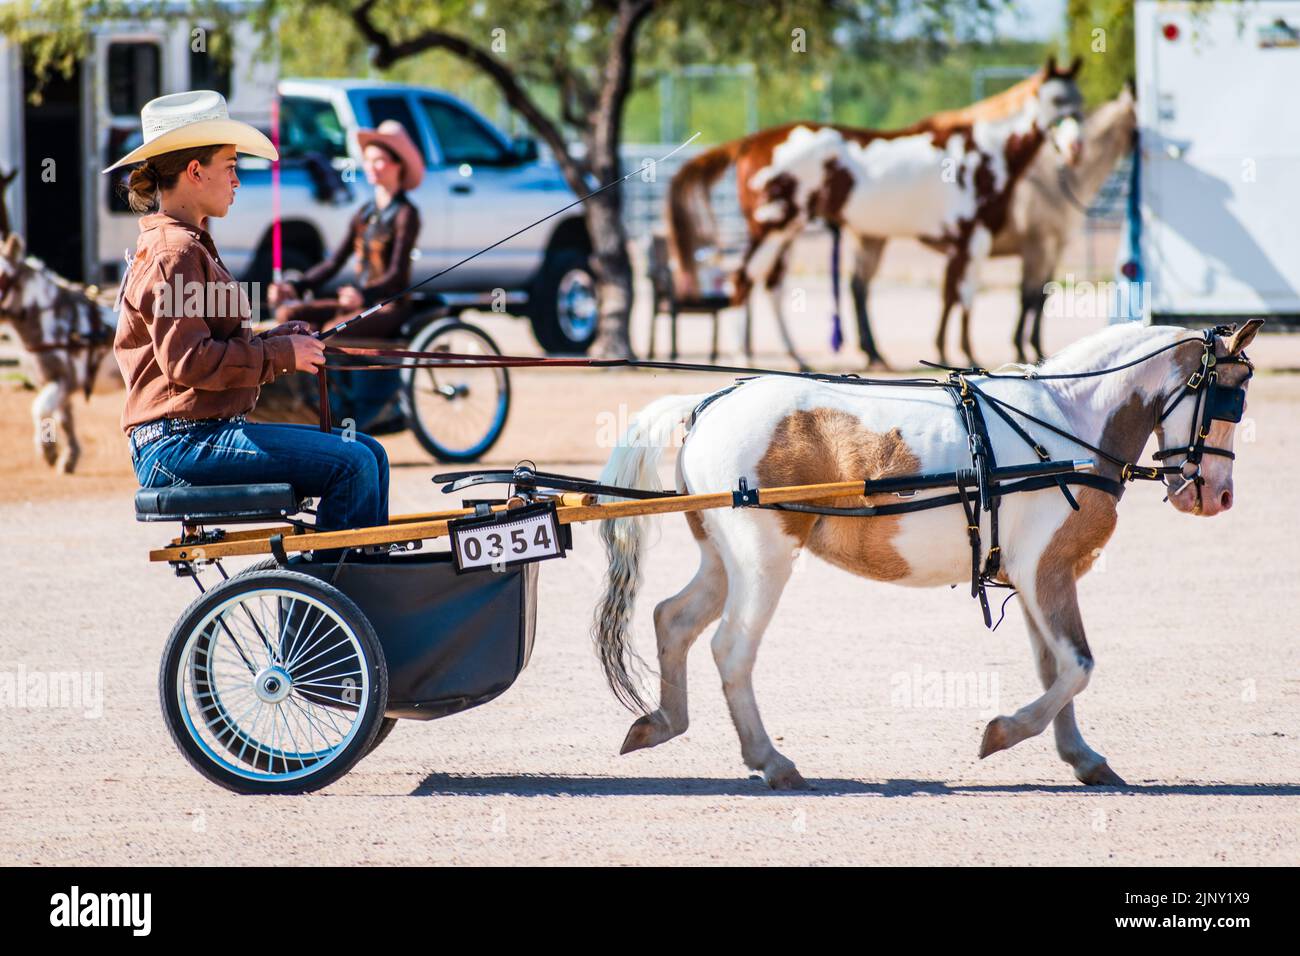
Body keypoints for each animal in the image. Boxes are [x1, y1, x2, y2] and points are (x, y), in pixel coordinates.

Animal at [0, 233, 116, 473]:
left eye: (4, 276)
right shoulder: (54, 383)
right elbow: (64, 418)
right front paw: (69, 457)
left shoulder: (65, 379)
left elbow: (39, 408)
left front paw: (49, 451)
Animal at [591, 319, 1262, 789]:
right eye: (1230, 396)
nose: (1220, 495)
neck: (1066, 426)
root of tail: (704, 408)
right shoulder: (1047, 570)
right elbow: (1078, 665)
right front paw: (1003, 733)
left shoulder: (1035, 578)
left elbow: (1054, 667)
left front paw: (1082, 758)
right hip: (764, 560)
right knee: (731, 649)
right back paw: (771, 761)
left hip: (722, 560)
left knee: (673, 620)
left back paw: (662, 721)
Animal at [666, 58, 1083, 370]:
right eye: (1055, 99)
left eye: (1079, 99)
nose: (1076, 147)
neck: (982, 151)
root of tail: (753, 141)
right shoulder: (973, 239)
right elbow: (964, 298)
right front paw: (966, 355)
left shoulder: (962, 244)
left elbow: (949, 296)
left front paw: (943, 352)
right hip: (772, 228)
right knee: (743, 281)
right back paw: (745, 358)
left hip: (786, 232)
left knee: (773, 288)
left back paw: (798, 359)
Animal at [846, 84, 1137, 367]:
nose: (1076, 150)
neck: (1054, 181)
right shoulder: (1037, 246)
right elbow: (1028, 296)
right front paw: (1023, 348)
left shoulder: (1054, 248)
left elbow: (1041, 296)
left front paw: (1034, 348)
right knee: (861, 288)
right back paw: (874, 352)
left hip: (873, 237)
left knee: (861, 287)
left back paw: (873, 351)